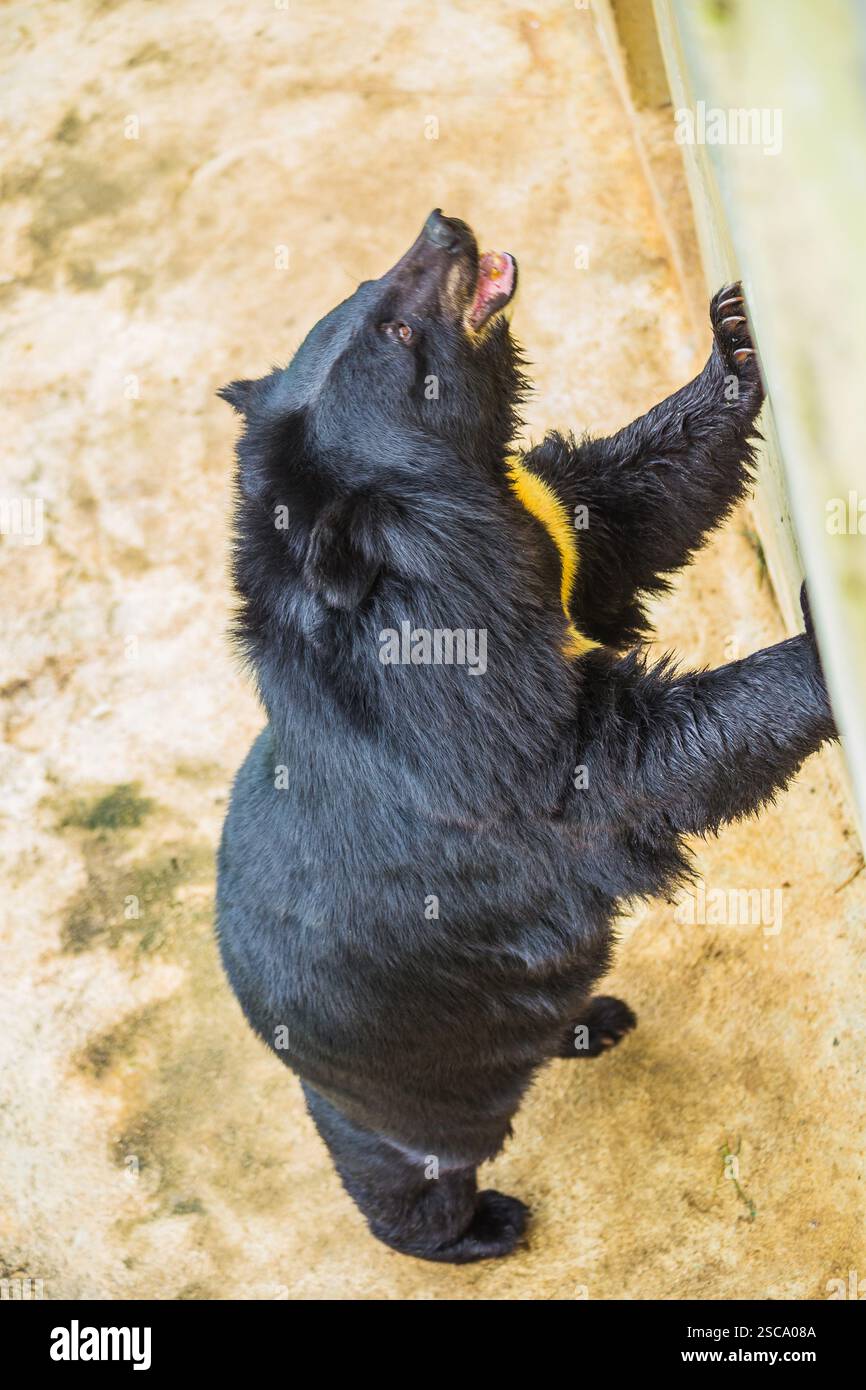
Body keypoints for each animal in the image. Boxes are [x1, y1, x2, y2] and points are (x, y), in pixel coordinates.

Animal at [216, 209, 835, 1263]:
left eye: (371, 285)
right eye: (394, 329)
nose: (448, 223)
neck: (445, 529)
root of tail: (259, 1024)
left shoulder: (548, 534)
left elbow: (626, 510)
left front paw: (736, 338)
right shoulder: (463, 716)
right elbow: (608, 764)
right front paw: (821, 646)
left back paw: (598, 1017)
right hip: (408, 1067)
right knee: (413, 1162)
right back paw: (476, 1228)